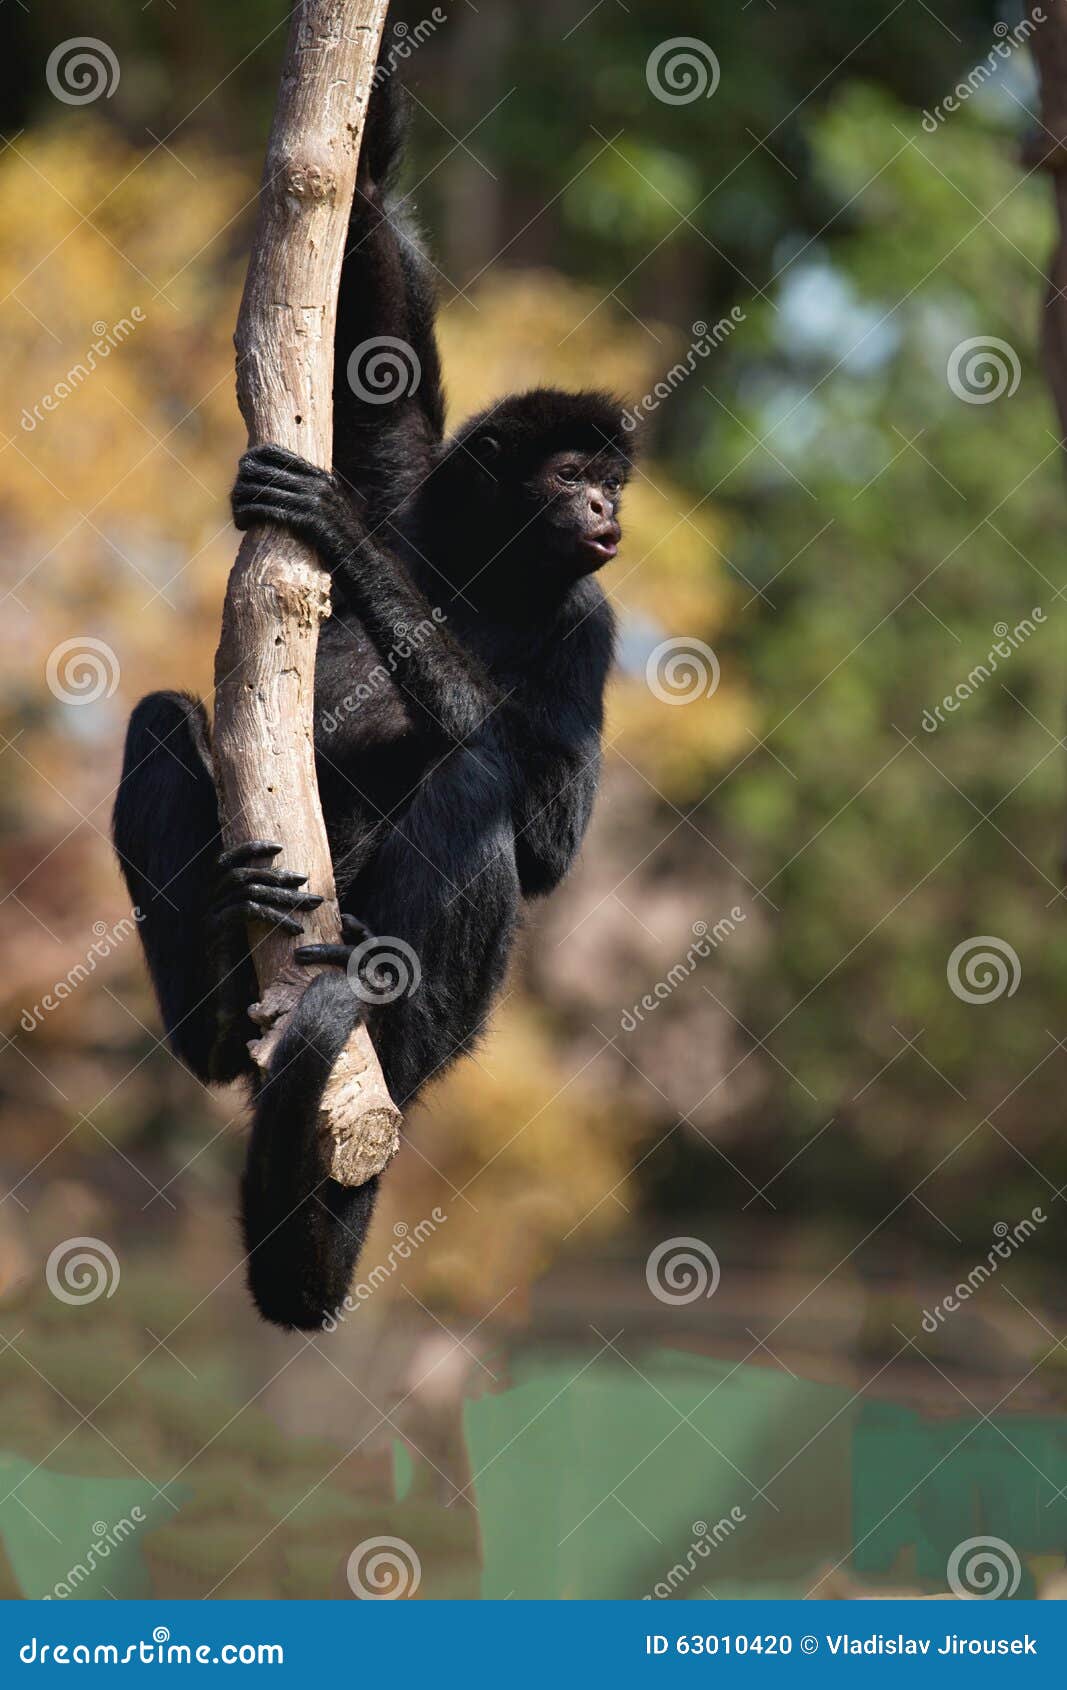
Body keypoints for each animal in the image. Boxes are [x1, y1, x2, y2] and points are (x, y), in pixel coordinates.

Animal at [112, 73, 634, 1331]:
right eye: (571, 476)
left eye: (605, 480)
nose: (606, 507)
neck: (483, 580)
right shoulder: (413, 494)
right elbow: (375, 324)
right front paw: (378, 99)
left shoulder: (591, 622)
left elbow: (548, 840)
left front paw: (337, 530)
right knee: (158, 719)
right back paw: (216, 990)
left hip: (443, 1035)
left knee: (480, 779)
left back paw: (376, 1001)